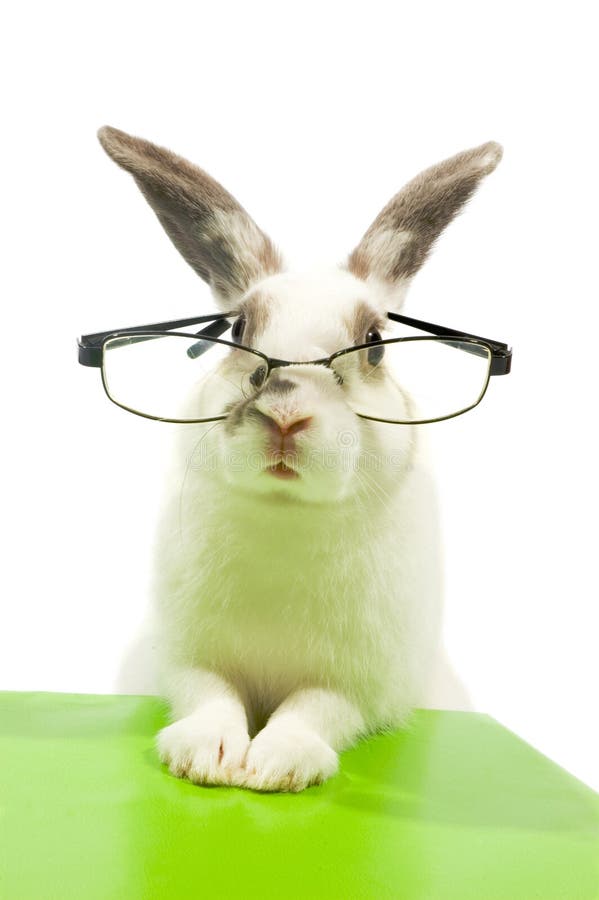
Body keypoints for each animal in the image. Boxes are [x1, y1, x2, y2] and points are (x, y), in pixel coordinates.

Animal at [98, 126, 502, 792]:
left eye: (374, 346)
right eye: (238, 330)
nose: (286, 416)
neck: (285, 514)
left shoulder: (363, 685)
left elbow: (316, 706)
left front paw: (277, 763)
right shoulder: (184, 658)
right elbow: (210, 694)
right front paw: (205, 754)